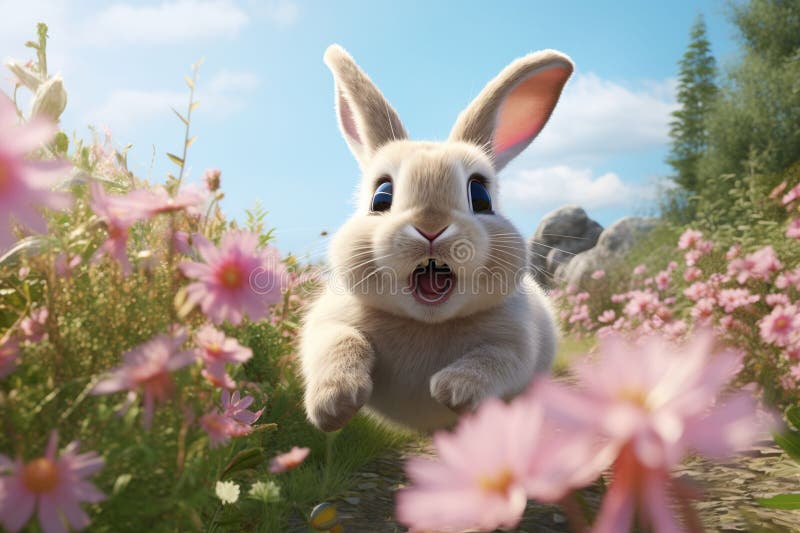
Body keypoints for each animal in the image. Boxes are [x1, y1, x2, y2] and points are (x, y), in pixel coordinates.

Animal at [300, 44, 573, 432]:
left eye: (480, 196)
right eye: (381, 196)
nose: (431, 227)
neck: (427, 323)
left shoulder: (517, 345)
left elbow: (493, 360)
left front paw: (453, 389)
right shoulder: (330, 324)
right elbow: (341, 343)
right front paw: (334, 404)